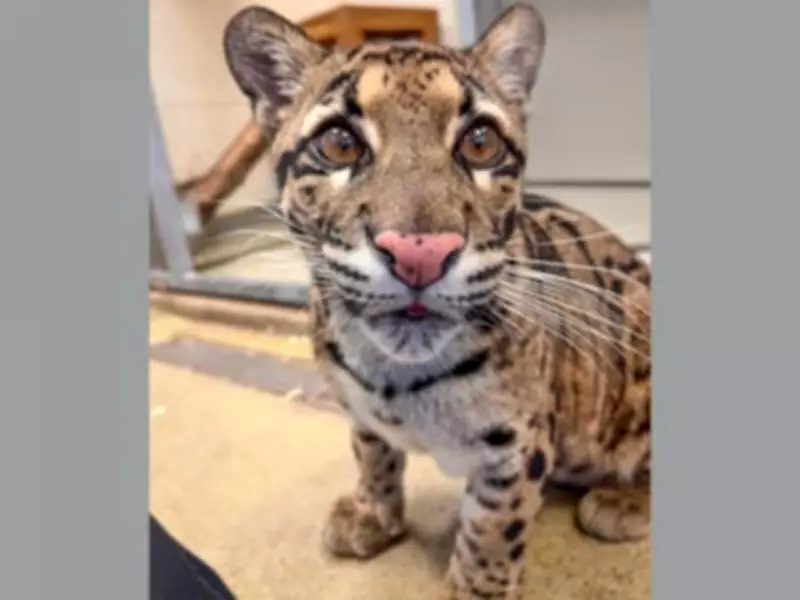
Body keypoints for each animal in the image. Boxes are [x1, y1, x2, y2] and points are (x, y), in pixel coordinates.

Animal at [223, 4, 651, 599]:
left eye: (480, 142)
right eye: (339, 143)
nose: (420, 254)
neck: (394, 377)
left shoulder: (516, 444)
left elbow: (493, 526)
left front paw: (477, 588)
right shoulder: (360, 412)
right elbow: (372, 456)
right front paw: (373, 513)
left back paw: (620, 500)